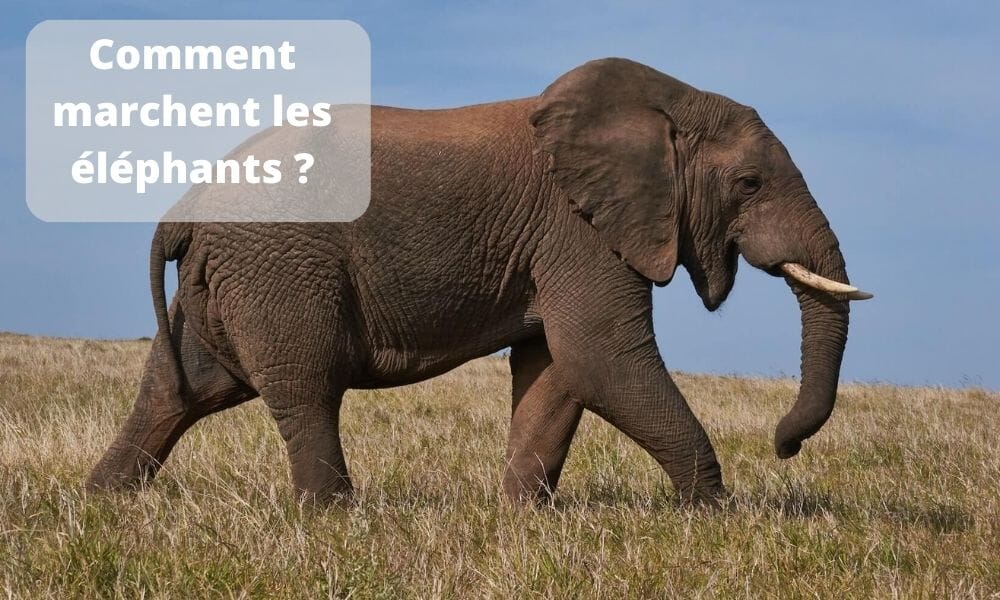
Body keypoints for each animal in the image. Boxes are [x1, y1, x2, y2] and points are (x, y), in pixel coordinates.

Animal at [87, 58, 871, 507]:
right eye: (749, 183)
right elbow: (601, 358)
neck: (666, 103)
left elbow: (557, 369)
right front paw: (709, 514)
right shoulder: (577, 229)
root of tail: (184, 209)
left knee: (180, 389)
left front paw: (521, 519)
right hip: (279, 268)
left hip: (225, 282)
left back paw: (103, 504)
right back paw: (336, 519)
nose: (784, 445)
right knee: (305, 387)